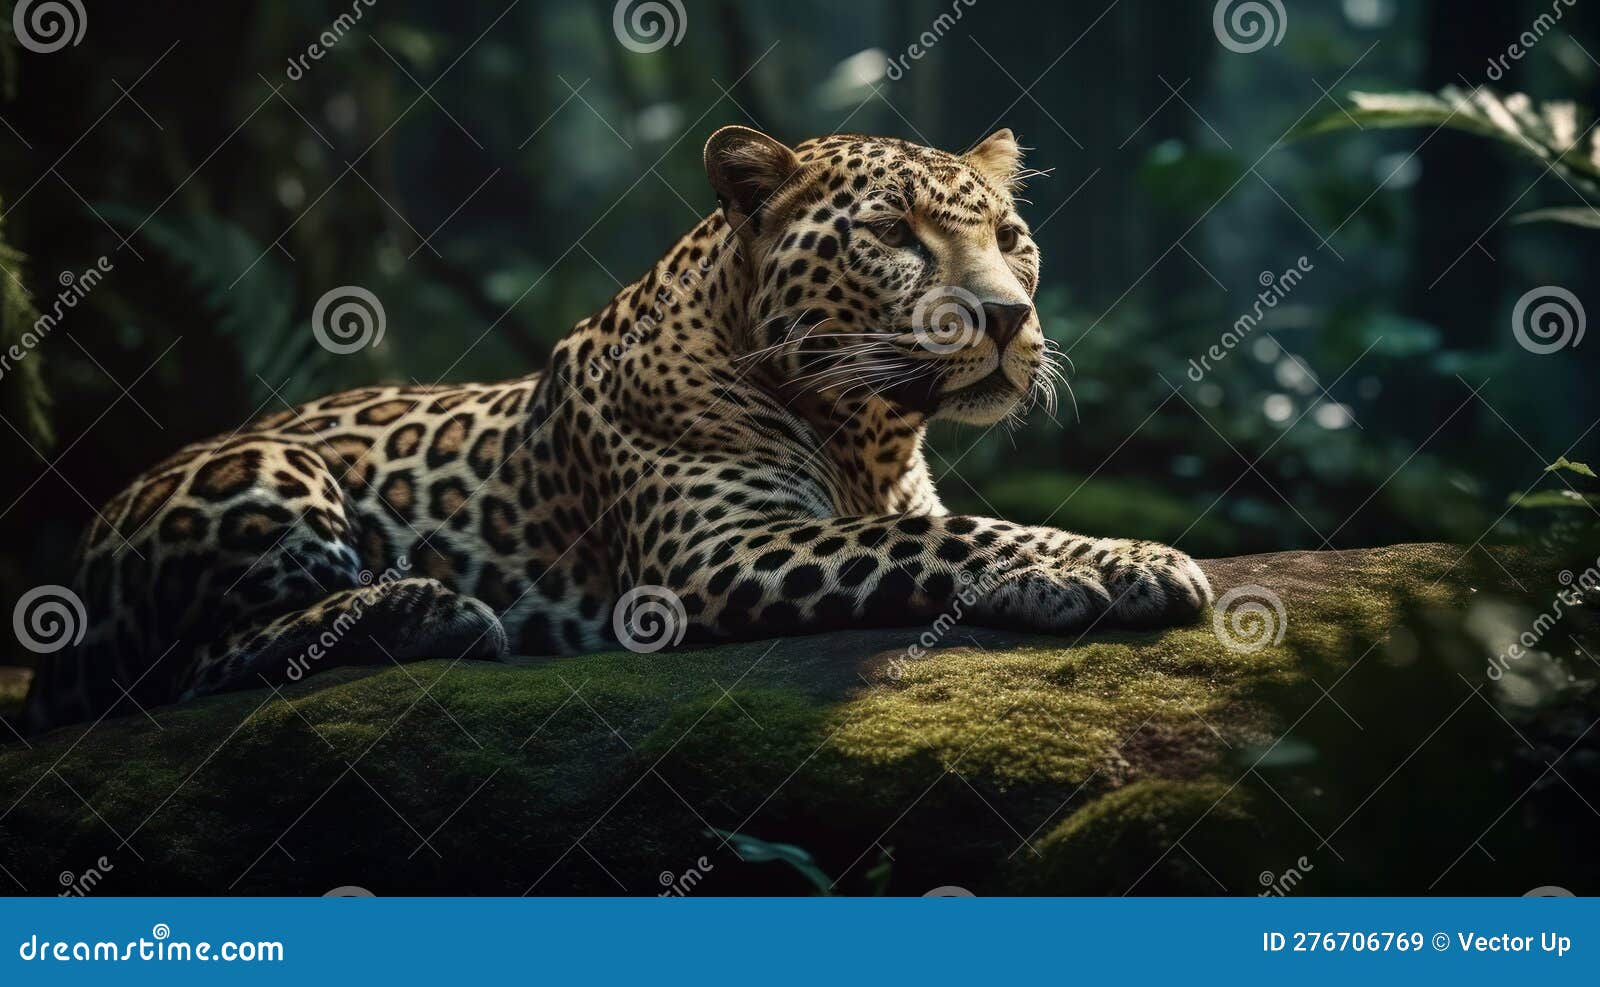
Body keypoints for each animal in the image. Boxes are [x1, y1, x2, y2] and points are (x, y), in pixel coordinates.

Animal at [22, 126, 1213, 733]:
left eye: (1009, 236)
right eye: (895, 236)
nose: (1008, 318)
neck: (871, 436)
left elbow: (946, 522)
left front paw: (1118, 555)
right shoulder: (715, 555)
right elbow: (937, 536)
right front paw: (1099, 566)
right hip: (275, 466)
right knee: (175, 672)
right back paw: (428, 609)